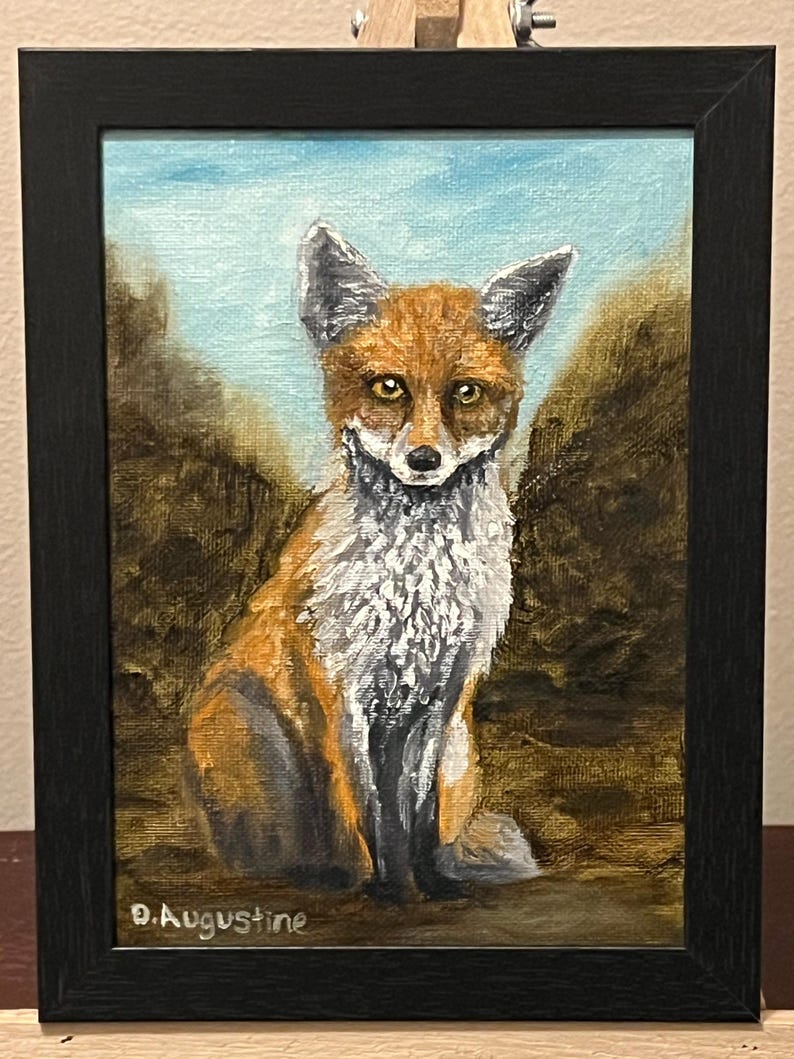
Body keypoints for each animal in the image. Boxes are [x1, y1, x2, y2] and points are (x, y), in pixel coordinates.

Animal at [188, 221, 575, 902]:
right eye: (388, 387)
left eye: (465, 392)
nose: (423, 459)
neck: (416, 580)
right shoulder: (343, 692)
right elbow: (363, 808)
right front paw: (387, 887)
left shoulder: (442, 697)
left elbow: (415, 812)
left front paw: (428, 883)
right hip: (240, 724)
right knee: (278, 847)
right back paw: (321, 872)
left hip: (460, 748)